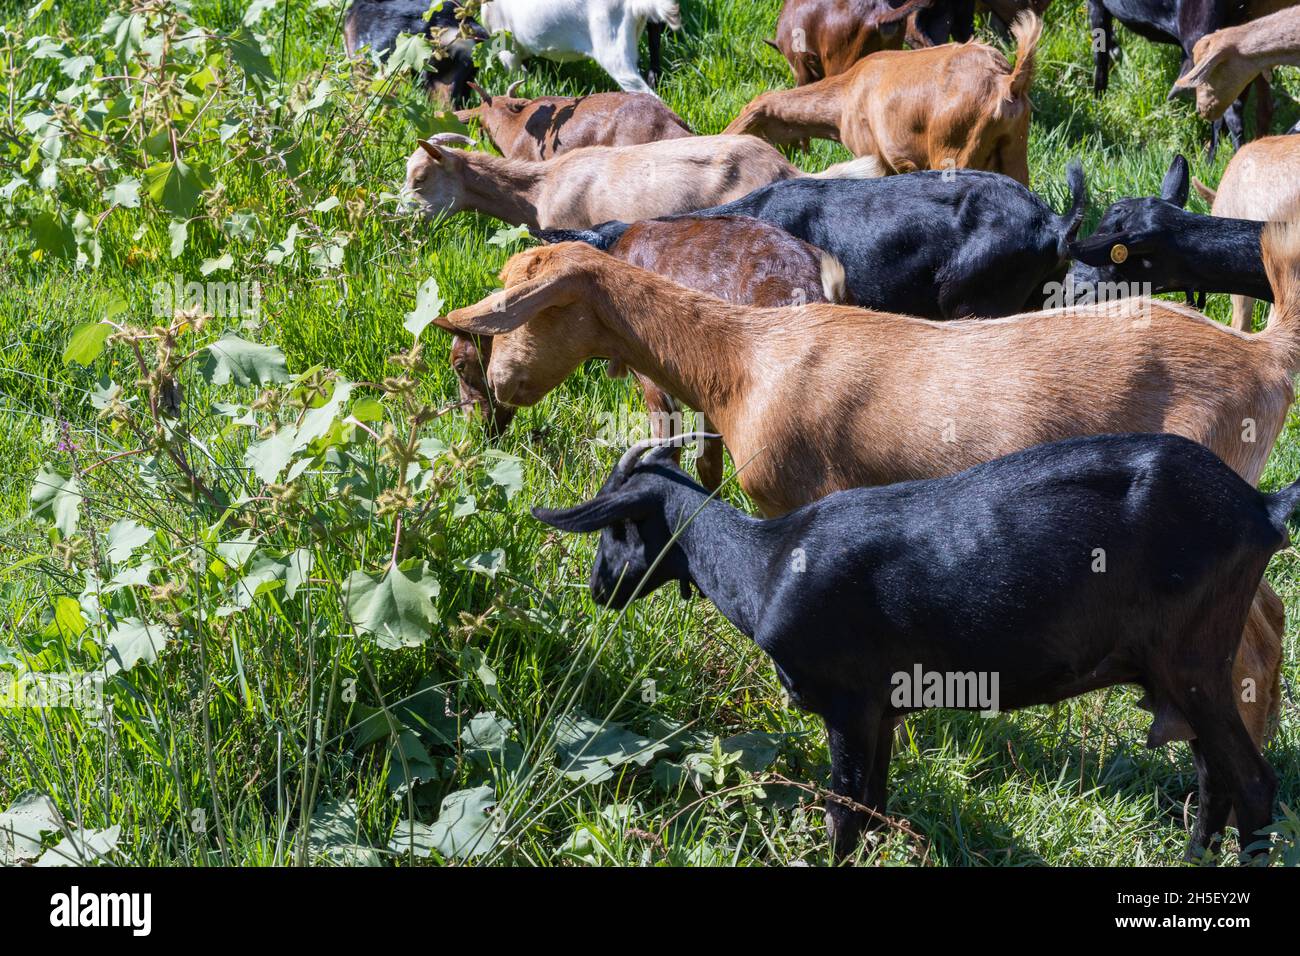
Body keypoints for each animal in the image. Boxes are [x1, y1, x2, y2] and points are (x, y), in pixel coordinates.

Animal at [534, 431, 1287, 861]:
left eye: (617, 525)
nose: (598, 588)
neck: (768, 563)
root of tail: (1263, 509)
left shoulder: (848, 705)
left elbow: (843, 812)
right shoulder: (886, 711)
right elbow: (876, 803)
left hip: (1192, 660)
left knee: (1252, 783)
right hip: (1178, 676)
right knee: (1214, 778)